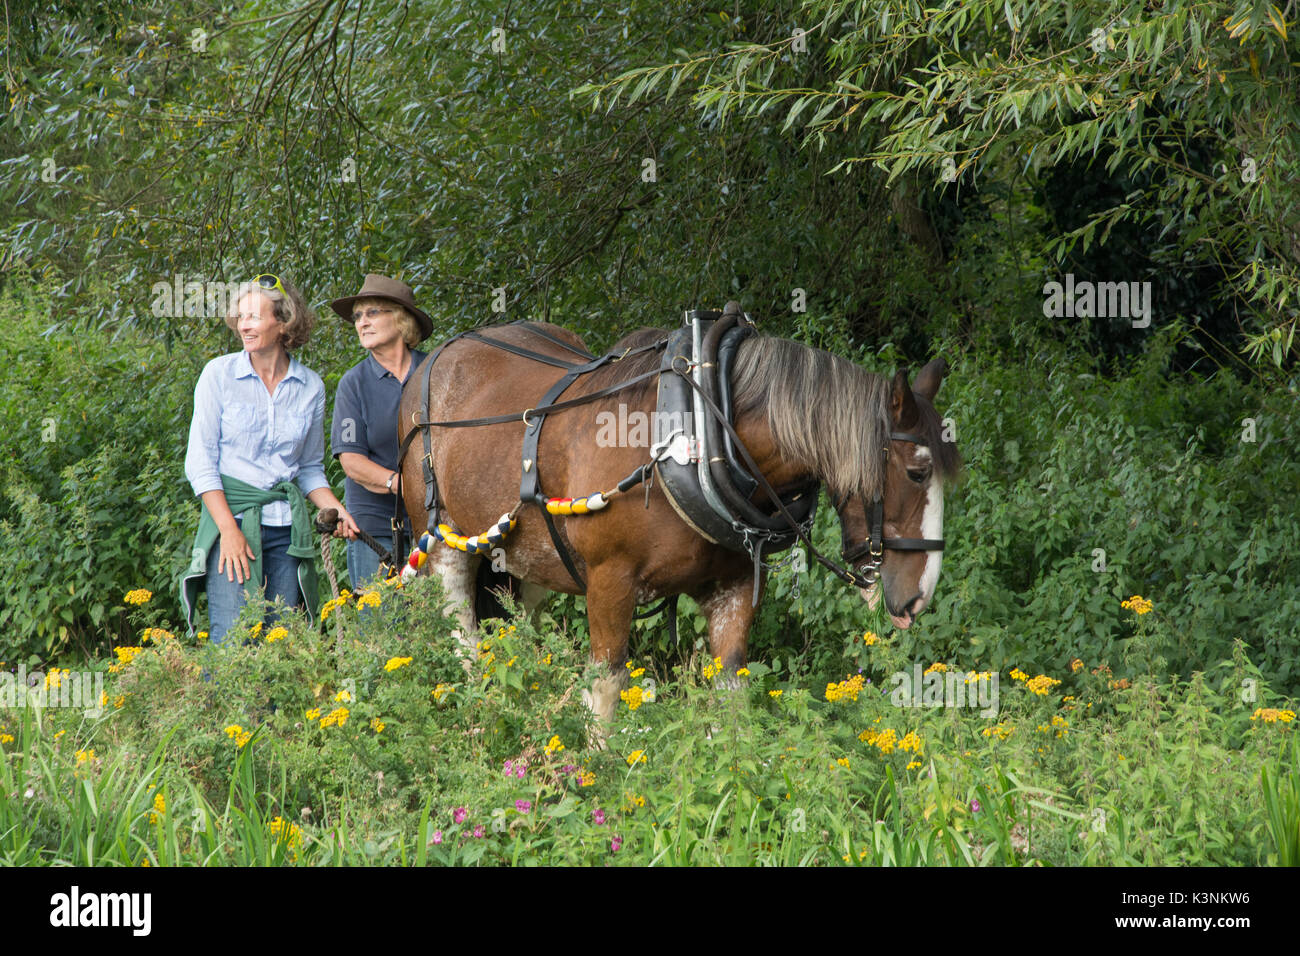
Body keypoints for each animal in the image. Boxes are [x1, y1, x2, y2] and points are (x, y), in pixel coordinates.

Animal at [396, 315, 959, 725]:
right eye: (915, 472)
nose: (919, 597)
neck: (702, 430)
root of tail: (435, 360)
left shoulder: (733, 586)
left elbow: (732, 693)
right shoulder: (610, 581)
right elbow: (605, 687)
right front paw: (595, 776)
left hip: (530, 558)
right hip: (445, 544)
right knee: (467, 642)